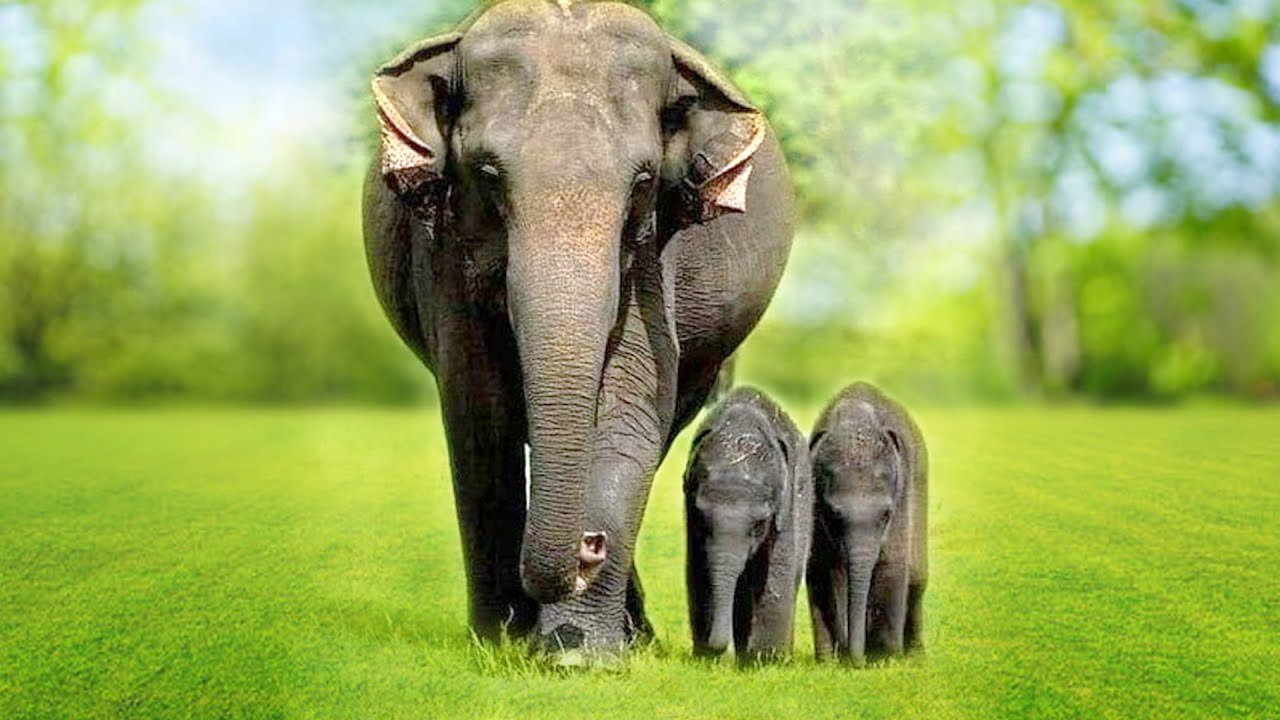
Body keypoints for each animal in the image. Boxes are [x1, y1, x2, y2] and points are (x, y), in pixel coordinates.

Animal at [361, 0, 794, 654]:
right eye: (488, 174)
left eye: (643, 182)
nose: (589, 546)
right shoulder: (440, 247)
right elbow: (478, 405)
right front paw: (502, 641)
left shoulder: (653, 253)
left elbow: (629, 400)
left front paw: (581, 655)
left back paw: (634, 634)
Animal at [683, 387, 811, 661]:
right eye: (701, 517)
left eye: (759, 525)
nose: (719, 647)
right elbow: (699, 572)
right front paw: (707, 660)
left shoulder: (786, 507)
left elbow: (774, 575)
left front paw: (766, 660)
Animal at [806, 382, 927, 664]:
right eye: (833, 514)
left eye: (886, 514)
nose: (855, 661)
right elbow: (821, 567)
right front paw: (828, 662)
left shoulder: (903, 495)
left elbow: (892, 562)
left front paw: (884, 659)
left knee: (917, 578)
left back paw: (916, 657)